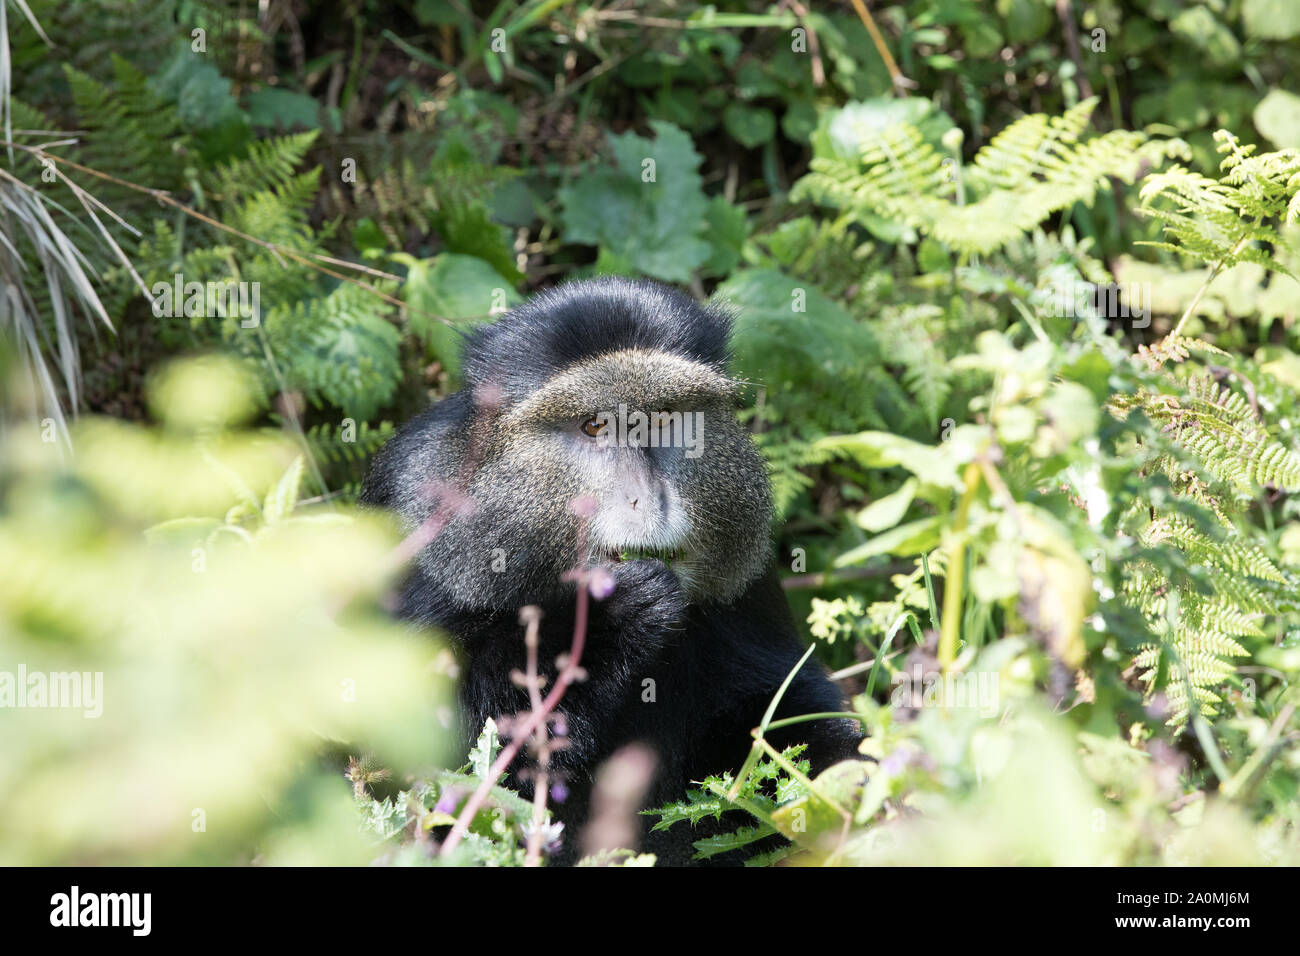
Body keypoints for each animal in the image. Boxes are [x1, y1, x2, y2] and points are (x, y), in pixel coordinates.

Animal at [361, 277, 862, 864]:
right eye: (595, 424)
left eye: (665, 417)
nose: (646, 499)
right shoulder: (414, 505)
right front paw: (613, 616)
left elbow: (780, 708)